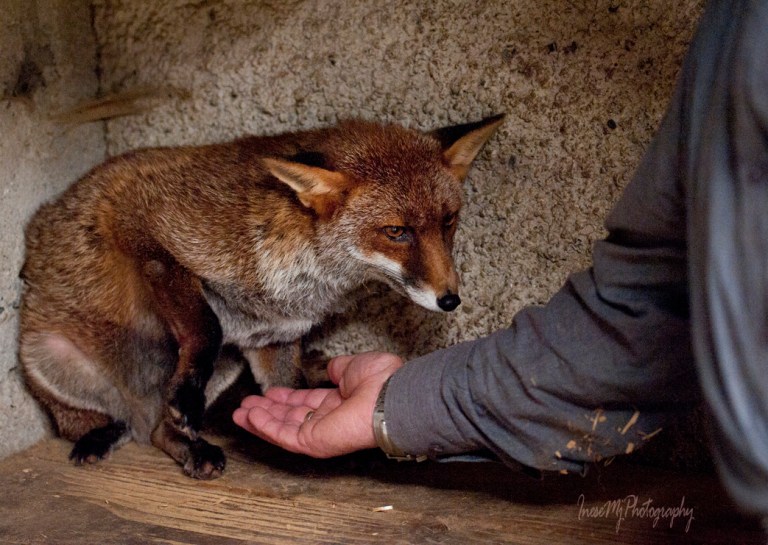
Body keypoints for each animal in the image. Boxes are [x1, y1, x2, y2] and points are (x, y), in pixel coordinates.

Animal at [18, 113, 504, 479]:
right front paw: (187, 398)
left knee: (158, 432)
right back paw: (105, 435)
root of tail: (136, 416)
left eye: (448, 221)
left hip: (227, 365)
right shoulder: (143, 223)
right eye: (396, 232)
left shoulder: (272, 339)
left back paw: (189, 446)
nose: (450, 299)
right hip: (47, 359)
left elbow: (286, 388)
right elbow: (206, 327)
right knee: (94, 420)